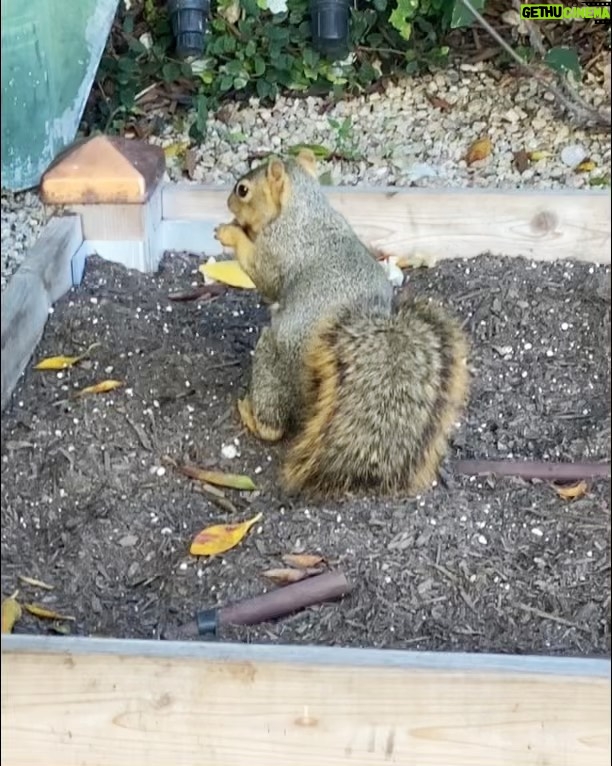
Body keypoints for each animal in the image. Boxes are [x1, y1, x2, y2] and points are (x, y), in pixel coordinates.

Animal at [214, 149, 470, 498]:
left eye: (243, 190)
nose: (228, 201)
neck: (306, 209)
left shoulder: (277, 248)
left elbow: (264, 277)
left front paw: (231, 233)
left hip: (273, 360)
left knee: (273, 427)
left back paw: (251, 415)